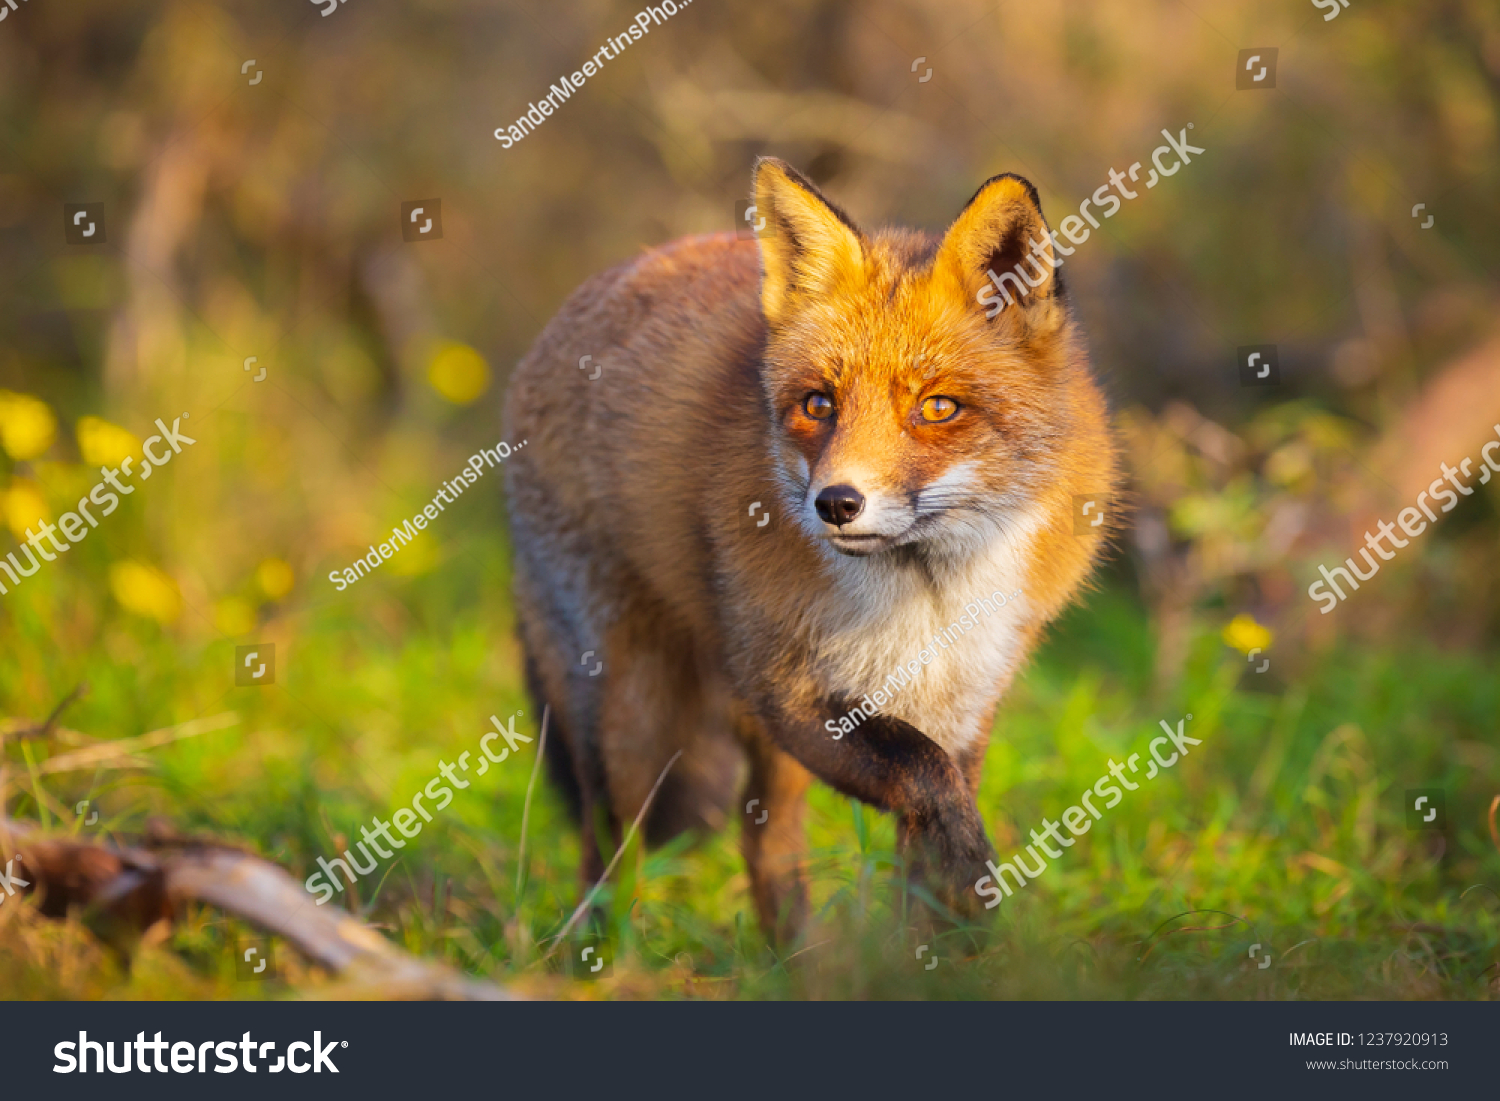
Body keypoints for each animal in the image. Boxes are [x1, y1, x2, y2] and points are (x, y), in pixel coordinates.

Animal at [503, 158, 1118, 943]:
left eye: (937, 407)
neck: (922, 600)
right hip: (624, 716)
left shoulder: (964, 701)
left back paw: (798, 960)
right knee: (608, 849)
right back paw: (606, 957)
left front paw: (943, 947)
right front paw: (970, 880)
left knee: (764, 845)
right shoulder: (784, 689)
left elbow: (928, 830)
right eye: (818, 404)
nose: (836, 503)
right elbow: (924, 776)